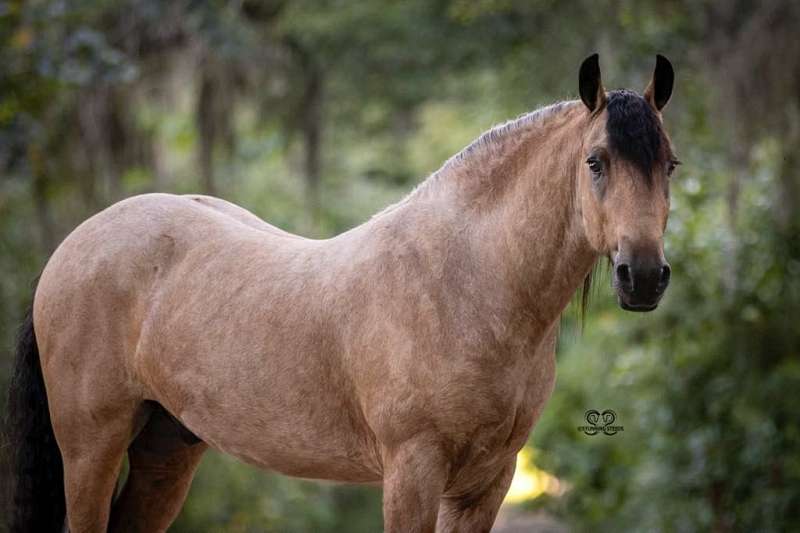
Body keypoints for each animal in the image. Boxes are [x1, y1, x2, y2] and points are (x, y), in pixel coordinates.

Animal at [6, 53, 677, 532]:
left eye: (668, 164)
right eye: (595, 161)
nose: (643, 277)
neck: (467, 286)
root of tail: (75, 244)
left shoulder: (488, 481)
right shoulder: (412, 471)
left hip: (167, 446)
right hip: (90, 446)